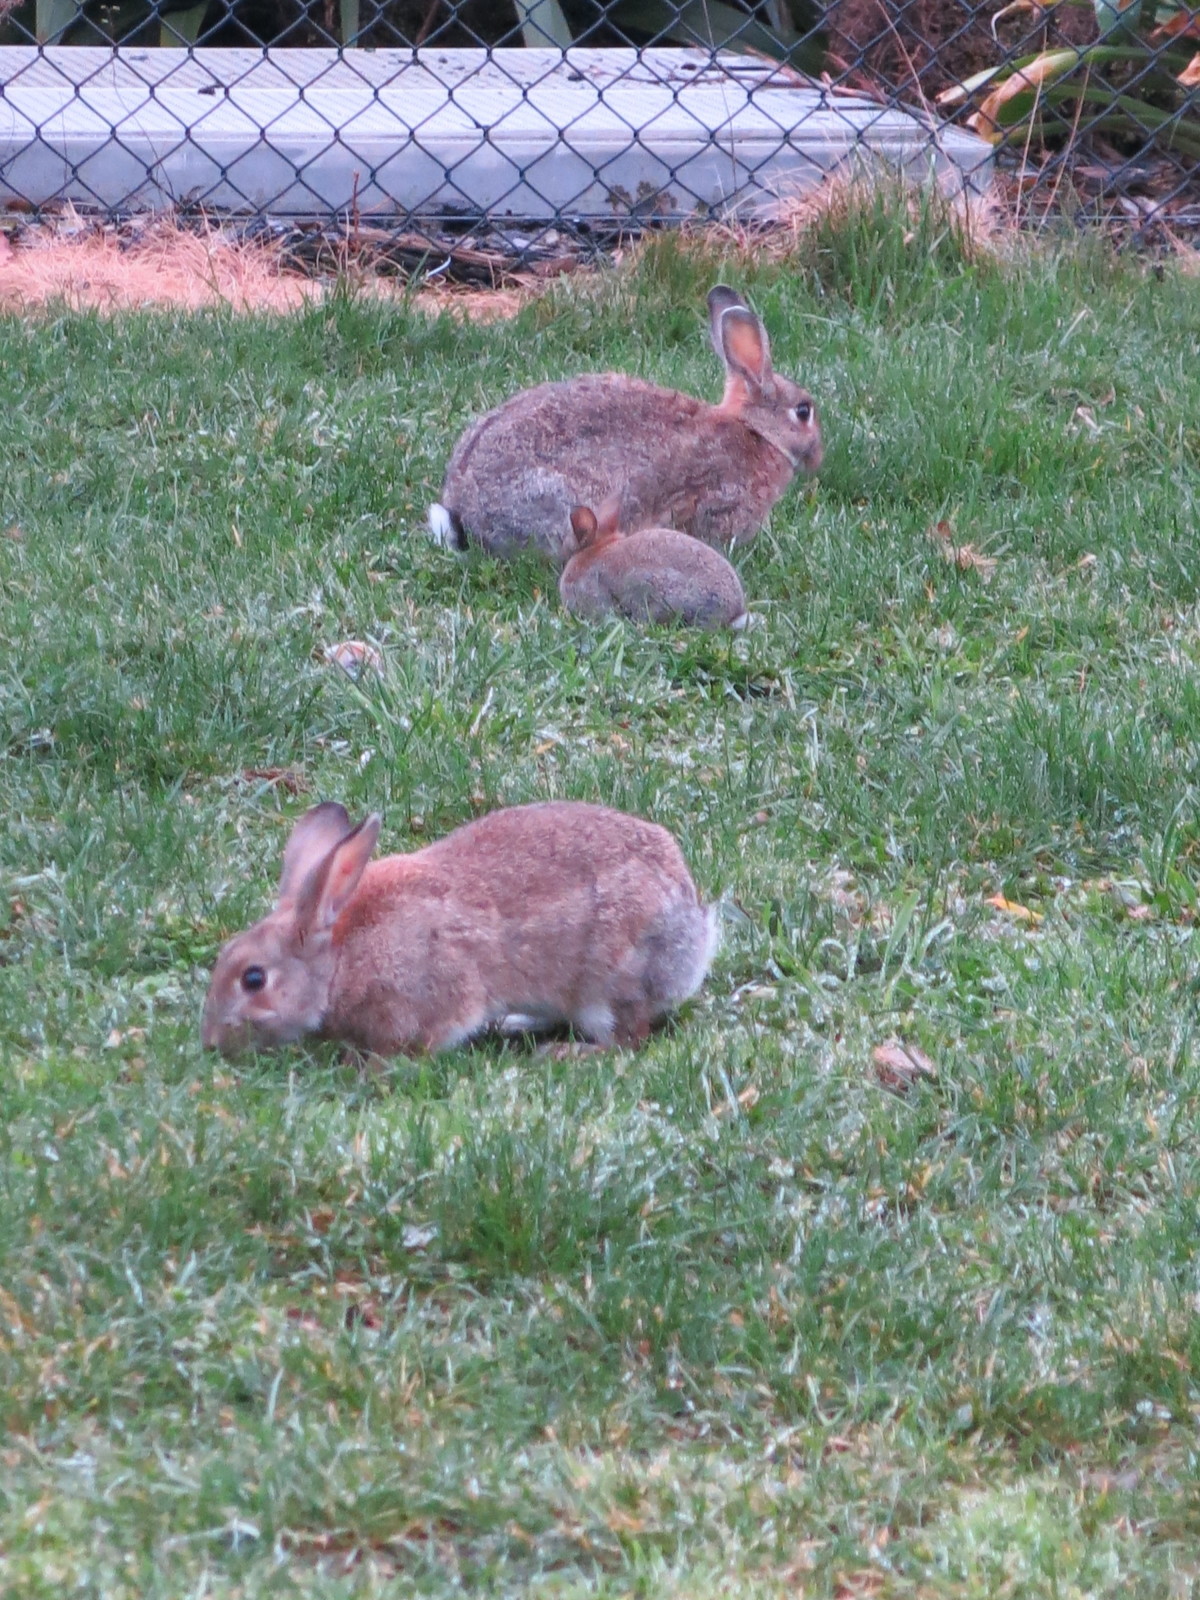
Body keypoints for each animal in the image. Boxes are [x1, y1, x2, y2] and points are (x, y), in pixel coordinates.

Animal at [201, 799, 718, 1059]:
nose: (210, 1042)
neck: (339, 958)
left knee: (628, 1038)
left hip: (608, 981)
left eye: (254, 978)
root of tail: (693, 925)